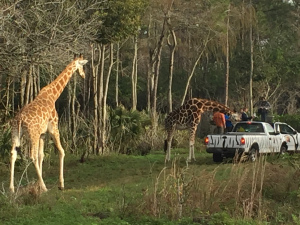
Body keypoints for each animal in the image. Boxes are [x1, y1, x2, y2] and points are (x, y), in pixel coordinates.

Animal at [9, 54, 88, 192]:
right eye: (82, 65)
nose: (83, 75)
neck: (53, 95)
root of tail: (19, 120)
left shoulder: (42, 134)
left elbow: (42, 156)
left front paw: (38, 185)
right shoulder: (53, 127)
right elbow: (61, 151)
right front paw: (60, 184)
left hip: (16, 134)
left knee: (14, 154)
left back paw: (11, 189)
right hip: (32, 135)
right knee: (32, 156)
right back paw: (45, 187)